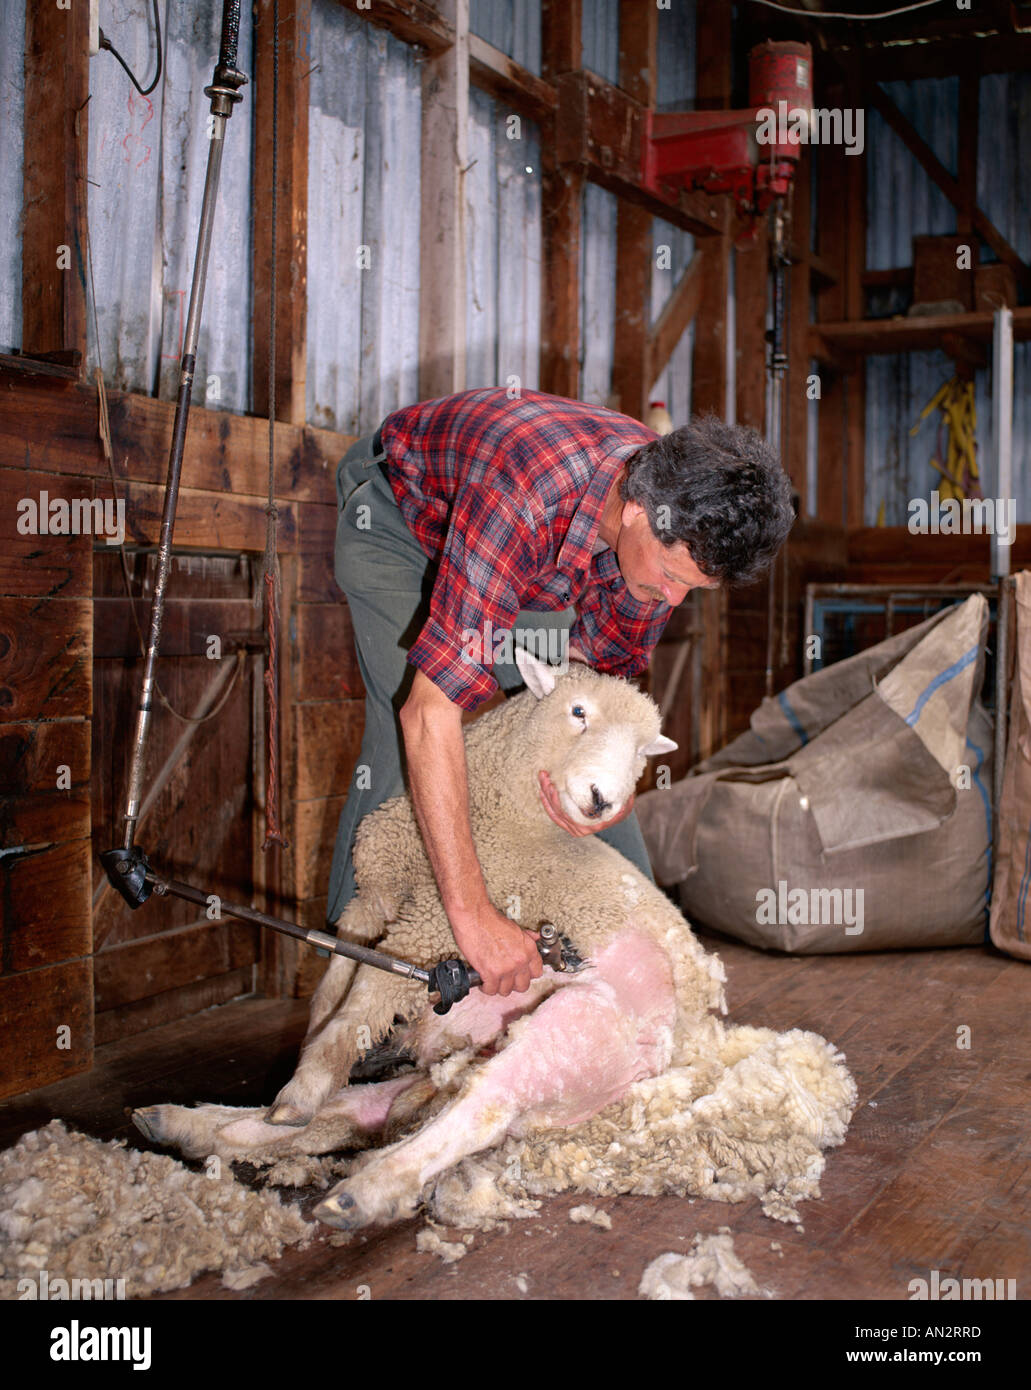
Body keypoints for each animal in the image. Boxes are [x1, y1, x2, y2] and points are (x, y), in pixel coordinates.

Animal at [135, 650, 856, 1232]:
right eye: (577, 712)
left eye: (643, 750)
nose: (603, 799)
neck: (505, 814)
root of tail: (697, 1047)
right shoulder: (373, 903)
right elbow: (333, 993)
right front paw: (308, 1073)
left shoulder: (433, 924)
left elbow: (364, 995)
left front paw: (306, 1082)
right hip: (449, 1060)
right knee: (367, 1111)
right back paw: (194, 1123)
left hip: (576, 1028)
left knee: (484, 1103)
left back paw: (362, 1193)